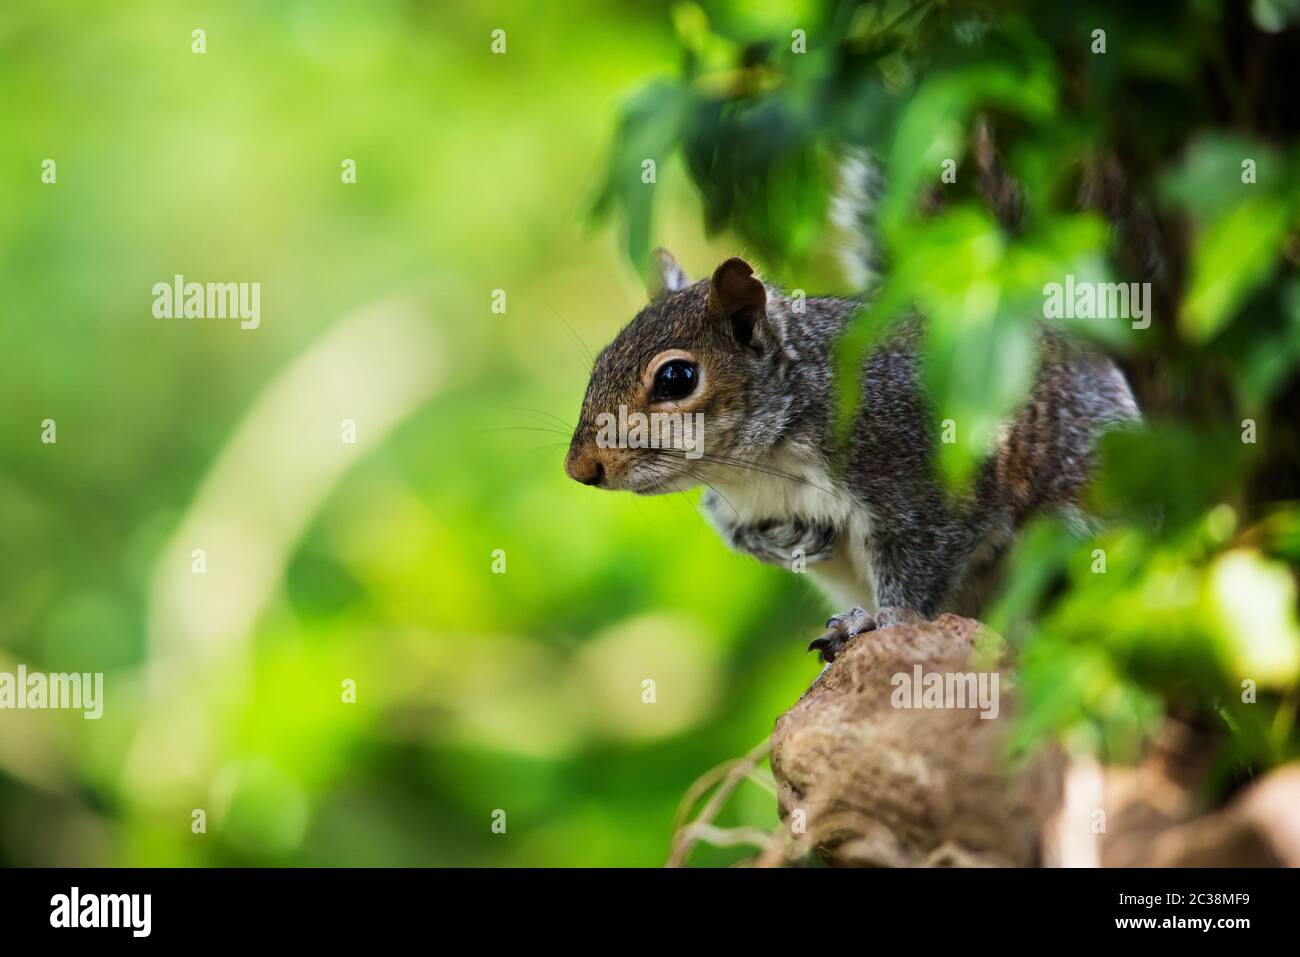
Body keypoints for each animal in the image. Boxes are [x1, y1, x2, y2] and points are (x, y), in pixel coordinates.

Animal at [564, 156, 1140, 663]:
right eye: (601, 360)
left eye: (676, 378)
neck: (763, 462)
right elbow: (740, 536)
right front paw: (789, 541)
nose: (580, 468)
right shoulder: (731, 505)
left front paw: (882, 620)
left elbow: (919, 564)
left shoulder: (916, 475)